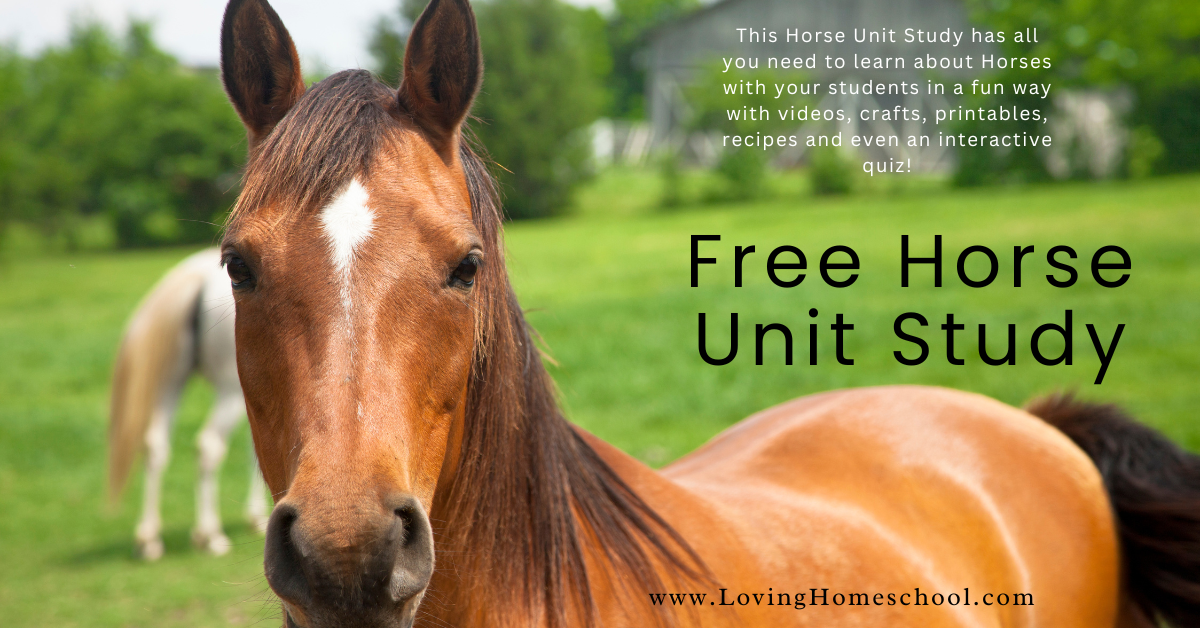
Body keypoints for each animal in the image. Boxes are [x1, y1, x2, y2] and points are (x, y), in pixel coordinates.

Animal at [108, 247, 269, 560]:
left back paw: (149, 539)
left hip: (171, 383)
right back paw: (210, 535)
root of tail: (196, 276)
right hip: (229, 390)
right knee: (209, 446)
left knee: (155, 445)